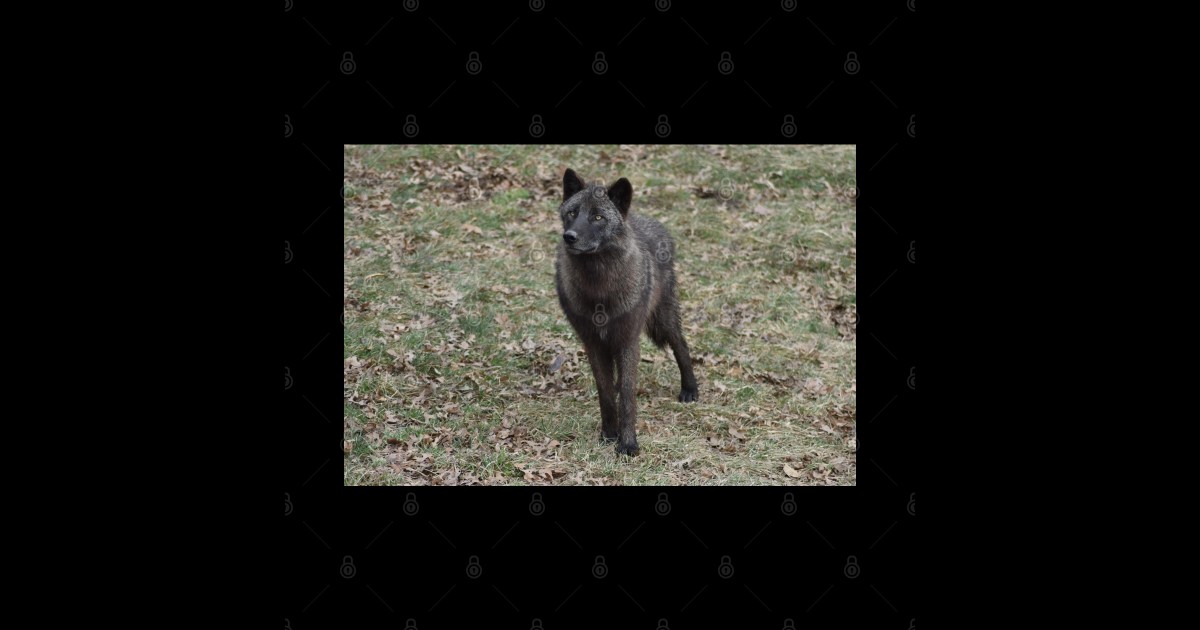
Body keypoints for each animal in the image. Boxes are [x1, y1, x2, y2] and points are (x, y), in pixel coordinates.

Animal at [554, 168, 699, 456]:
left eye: (598, 217)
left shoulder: (628, 341)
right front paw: (609, 434)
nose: (570, 237)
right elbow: (606, 393)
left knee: (681, 345)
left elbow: (629, 395)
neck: (599, 288)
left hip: (664, 319)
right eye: (572, 213)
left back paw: (690, 389)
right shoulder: (593, 343)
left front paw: (629, 443)